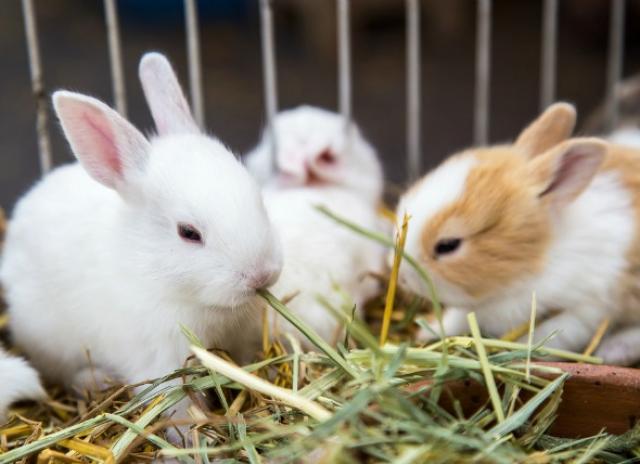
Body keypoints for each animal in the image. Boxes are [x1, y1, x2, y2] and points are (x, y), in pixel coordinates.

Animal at [0, 52, 282, 403]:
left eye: (258, 197)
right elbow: (176, 404)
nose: (262, 275)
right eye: (188, 232)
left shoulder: (241, 338)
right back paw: (94, 381)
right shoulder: (159, 360)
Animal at [396, 102, 640, 366]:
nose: (402, 278)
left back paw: (614, 350)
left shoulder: (582, 310)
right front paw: (424, 332)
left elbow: (549, 337)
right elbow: (456, 319)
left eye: (448, 245)